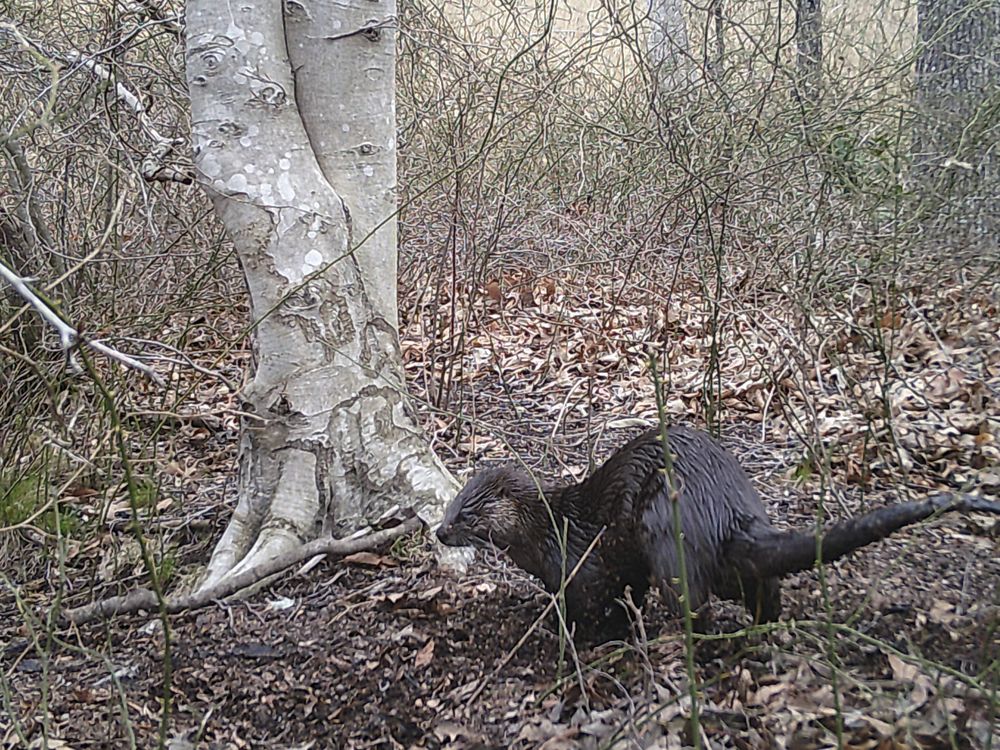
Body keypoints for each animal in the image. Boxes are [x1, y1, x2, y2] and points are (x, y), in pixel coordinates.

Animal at [436, 425, 999, 638]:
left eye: (466, 515)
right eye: (447, 506)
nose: (439, 533)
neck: (550, 529)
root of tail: (728, 515)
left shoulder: (581, 566)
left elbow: (590, 603)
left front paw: (566, 631)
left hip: (665, 535)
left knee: (694, 603)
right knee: (765, 590)